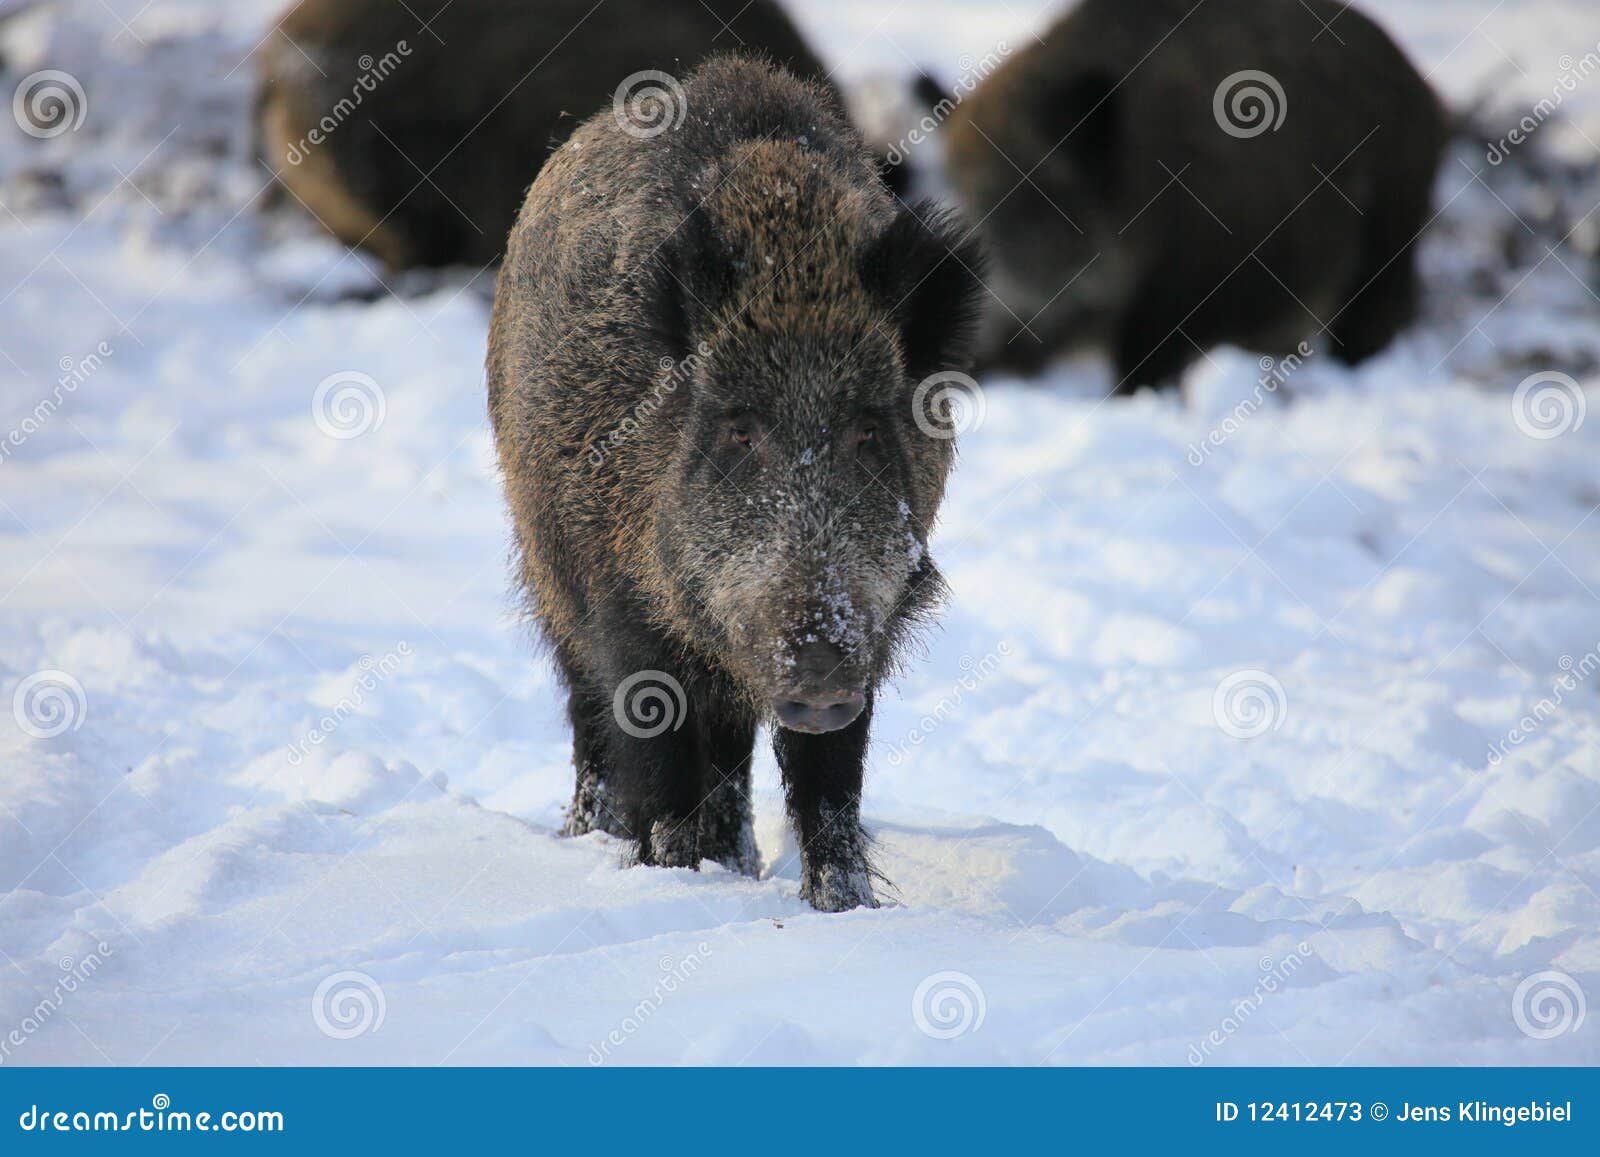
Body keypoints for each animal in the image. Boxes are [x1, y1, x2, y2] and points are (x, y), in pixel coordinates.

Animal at [487, 55, 984, 911]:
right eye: (740, 430)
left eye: (866, 429)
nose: (819, 667)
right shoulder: (627, 608)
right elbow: (657, 767)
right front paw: (670, 880)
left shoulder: (874, 626)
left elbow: (830, 784)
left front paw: (846, 909)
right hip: (546, 565)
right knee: (589, 718)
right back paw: (591, 839)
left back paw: (738, 862)